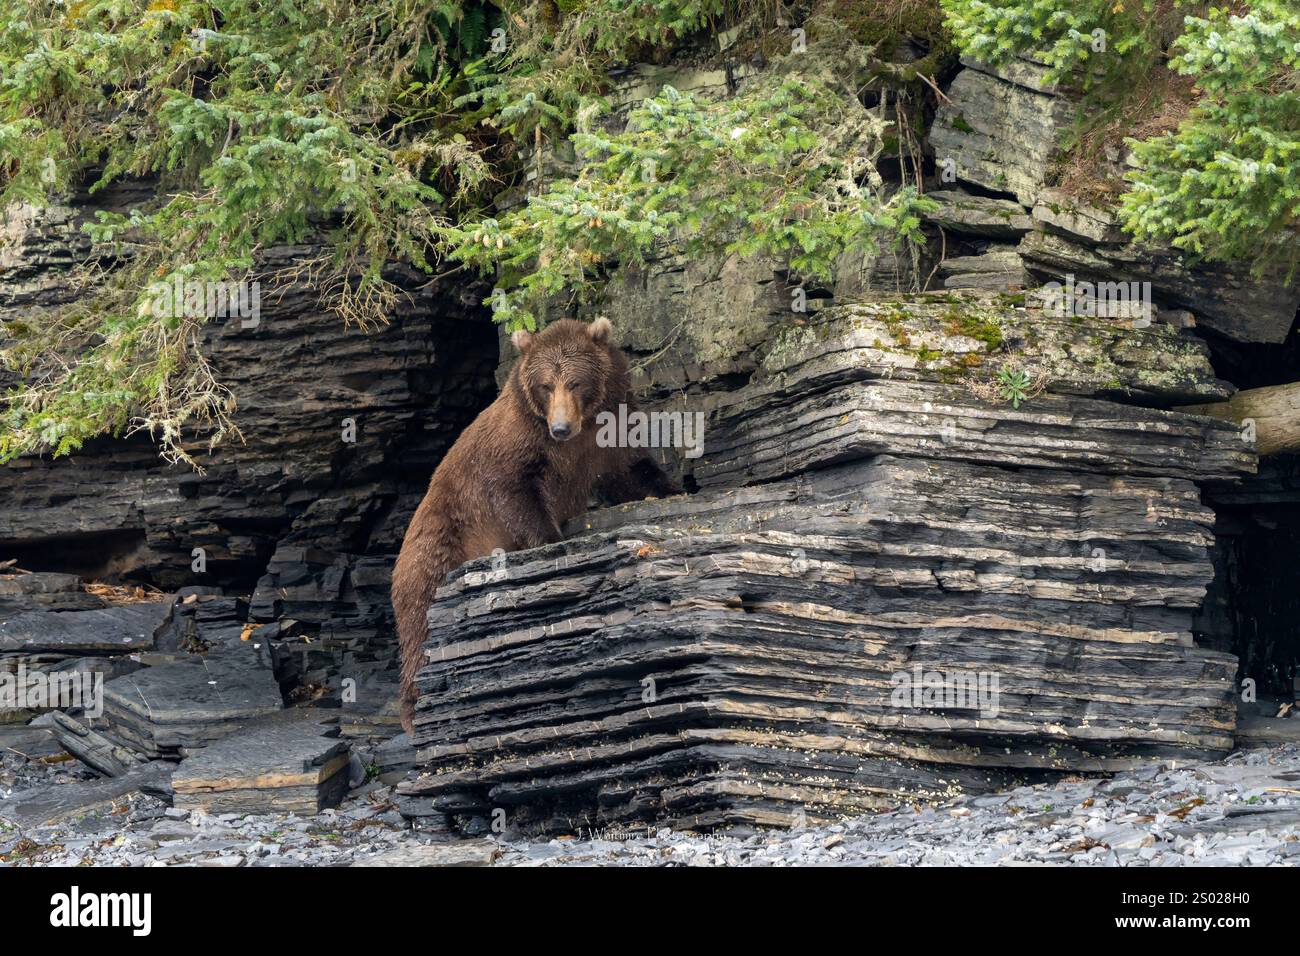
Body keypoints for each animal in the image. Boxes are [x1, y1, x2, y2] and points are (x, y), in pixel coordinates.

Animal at [390, 317, 681, 734]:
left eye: (575, 382)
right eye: (546, 385)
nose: (560, 427)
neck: (580, 430)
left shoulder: (610, 432)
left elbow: (632, 470)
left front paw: (673, 489)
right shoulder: (515, 445)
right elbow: (512, 488)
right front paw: (550, 538)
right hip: (433, 555)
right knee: (420, 632)